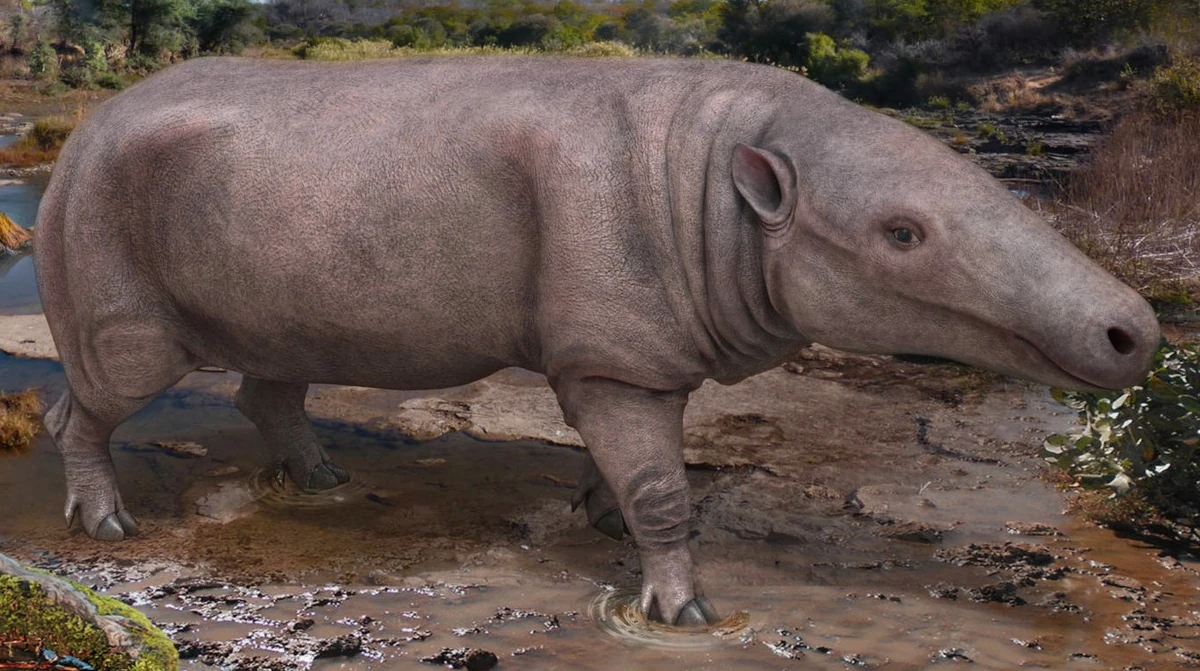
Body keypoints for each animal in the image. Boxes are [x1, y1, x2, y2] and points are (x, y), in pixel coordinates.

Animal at [35, 56, 1159, 627]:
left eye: (984, 184)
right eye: (903, 233)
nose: (1136, 328)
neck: (735, 185)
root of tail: (82, 131)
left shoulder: (644, 347)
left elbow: (644, 466)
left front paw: (601, 518)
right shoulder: (614, 357)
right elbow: (660, 482)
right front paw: (682, 612)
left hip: (282, 274)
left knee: (270, 380)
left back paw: (321, 482)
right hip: (107, 256)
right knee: (102, 389)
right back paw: (107, 524)